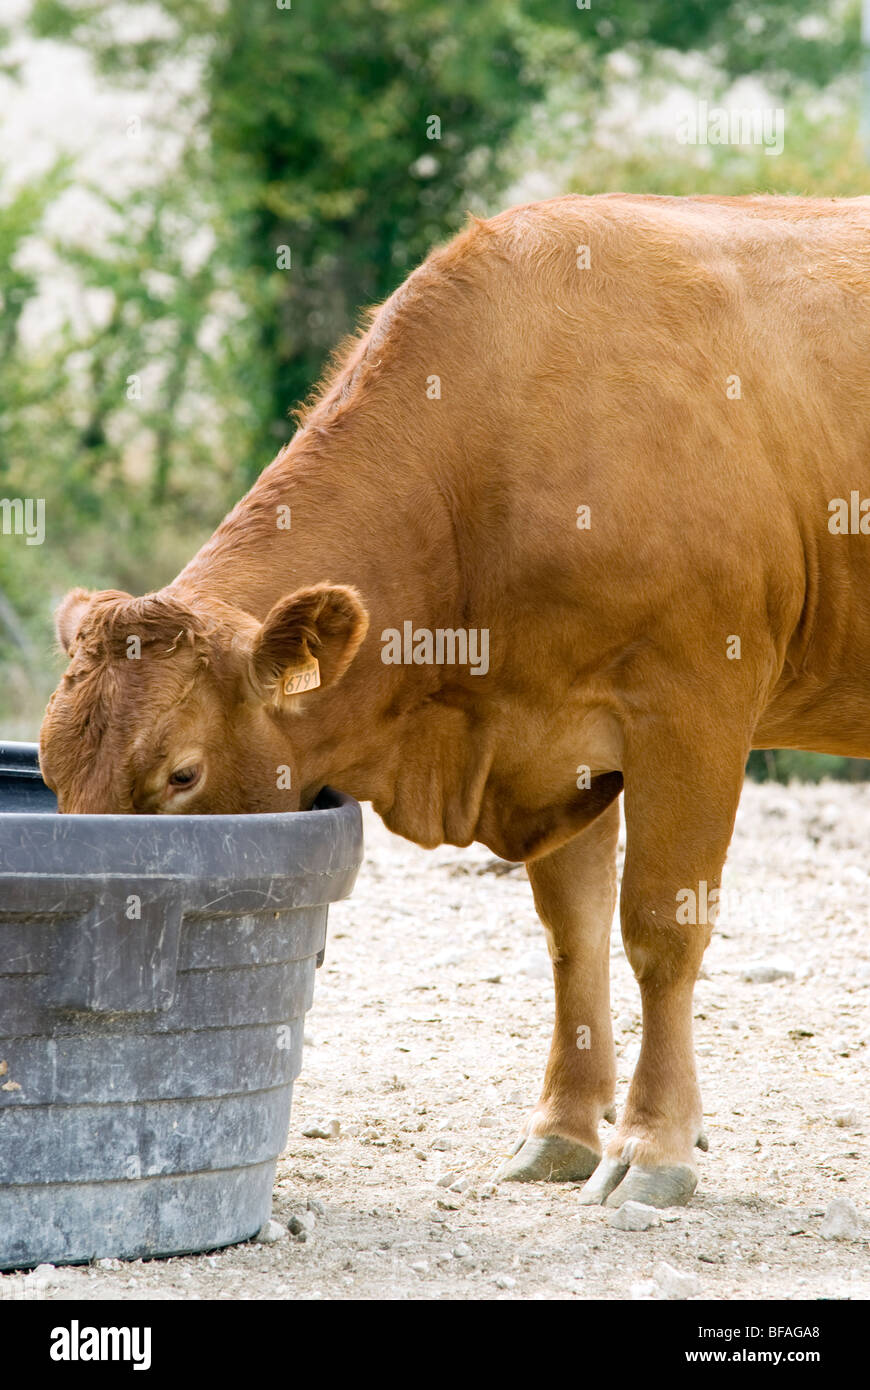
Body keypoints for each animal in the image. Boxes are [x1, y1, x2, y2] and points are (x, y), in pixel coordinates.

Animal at [39, 193, 870, 1208]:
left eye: (182, 773)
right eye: (49, 768)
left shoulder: (694, 706)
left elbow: (659, 930)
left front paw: (653, 1147)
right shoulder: (558, 740)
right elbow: (573, 934)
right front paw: (562, 1133)